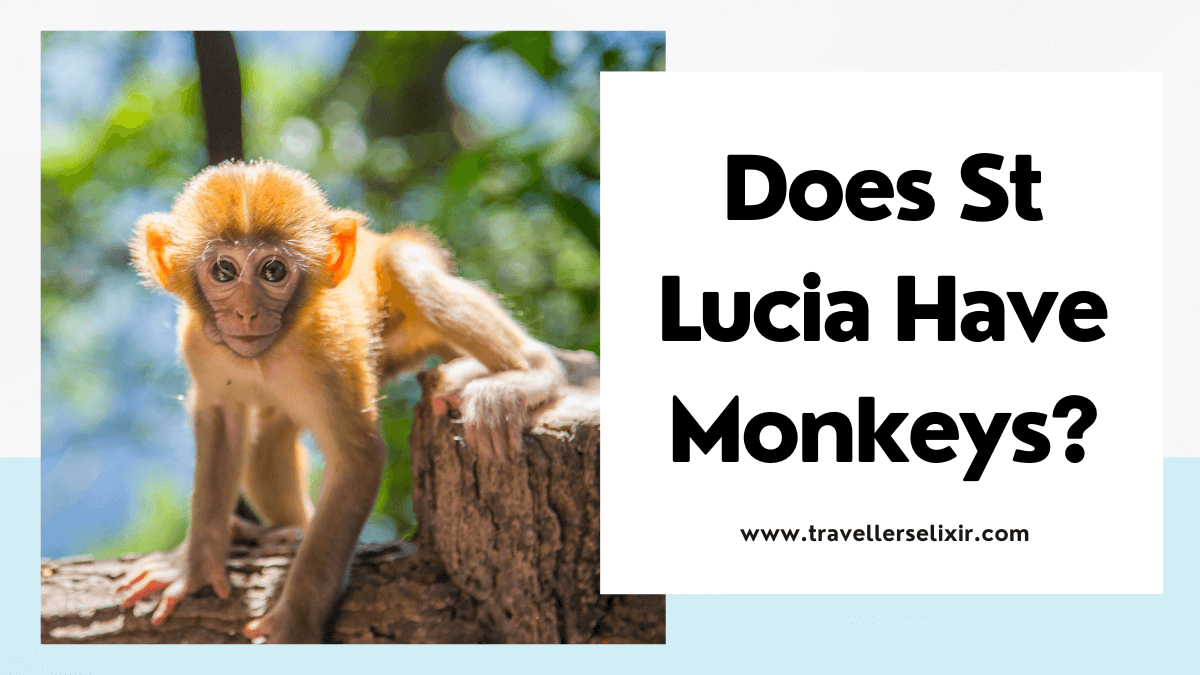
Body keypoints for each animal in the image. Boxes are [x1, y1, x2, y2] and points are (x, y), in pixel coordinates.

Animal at [116, 160, 566, 643]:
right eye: (223, 272)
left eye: (273, 271)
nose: (246, 313)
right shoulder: (201, 345)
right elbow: (222, 420)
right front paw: (194, 566)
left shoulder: (331, 354)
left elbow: (358, 460)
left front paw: (295, 622)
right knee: (266, 439)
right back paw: (275, 534)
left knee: (407, 268)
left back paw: (526, 373)